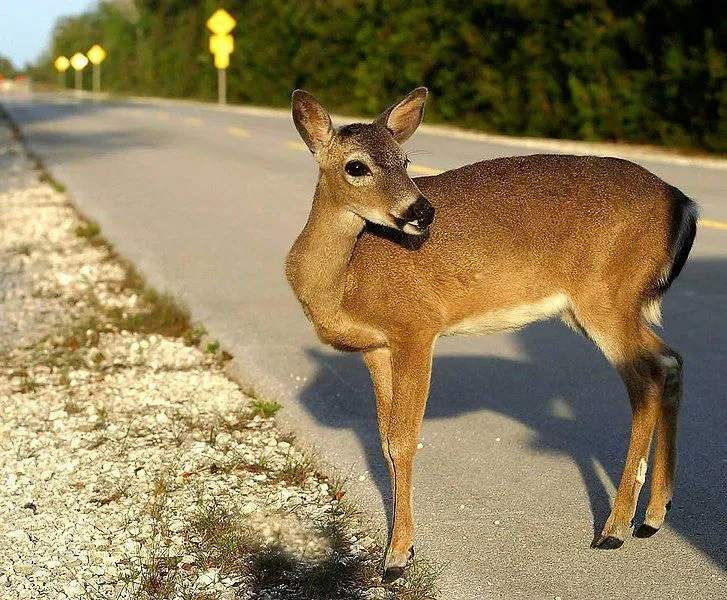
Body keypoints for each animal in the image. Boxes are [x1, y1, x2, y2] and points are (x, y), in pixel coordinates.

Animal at [284, 86, 700, 580]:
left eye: (405, 160)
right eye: (356, 166)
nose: (422, 210)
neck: (345, 281)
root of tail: (684, 203)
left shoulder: (416, 327)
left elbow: (404, 441)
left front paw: (397, 557)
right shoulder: (376, 346)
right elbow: (384, 441)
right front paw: (401, 547)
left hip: (607, 296)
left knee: (646, 379)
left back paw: (614, 528)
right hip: (609, 306)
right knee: (670, 360)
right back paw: (655, 515)